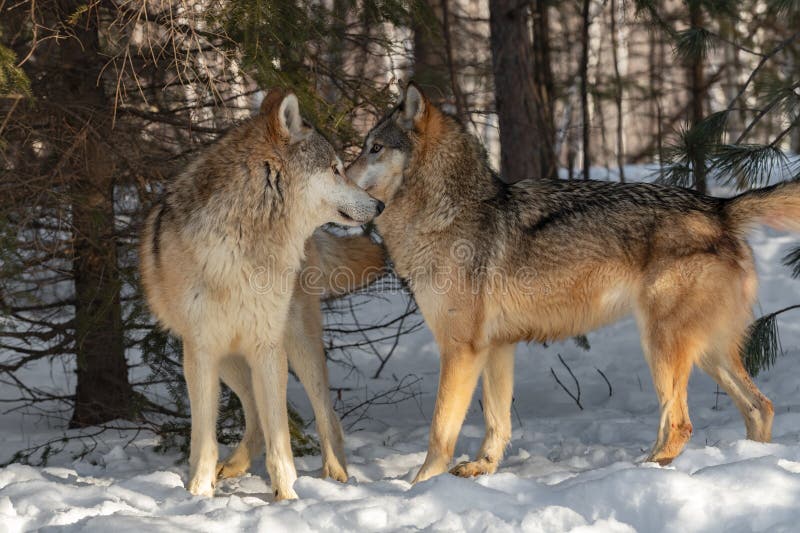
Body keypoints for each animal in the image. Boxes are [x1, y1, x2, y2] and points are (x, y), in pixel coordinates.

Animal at [139, 89, 384, 499]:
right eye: (335, 169)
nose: (379, 204)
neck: (244, 238)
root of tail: (310, 240)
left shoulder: (268, 347)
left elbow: (281, 440)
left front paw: (288, 497)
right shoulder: (201, 350)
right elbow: (203, 439)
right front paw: (198, 493)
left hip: (296, 345)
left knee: (326, 415)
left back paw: (337, 477)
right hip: (227, 358)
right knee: (252, 415)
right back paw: (231, 467)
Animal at [347, 82, 800, 484]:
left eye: (374, 148)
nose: (339, 173)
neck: (449, 212)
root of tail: (720, 207)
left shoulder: (461, 348)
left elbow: (440, 431)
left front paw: (419, 487)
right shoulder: (497, 348)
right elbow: (497, 421)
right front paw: (482, 469)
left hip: (662, 345)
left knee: (680, 425)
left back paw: (637, 472)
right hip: (706, 352)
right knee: (760, 407)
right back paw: (748, 461)